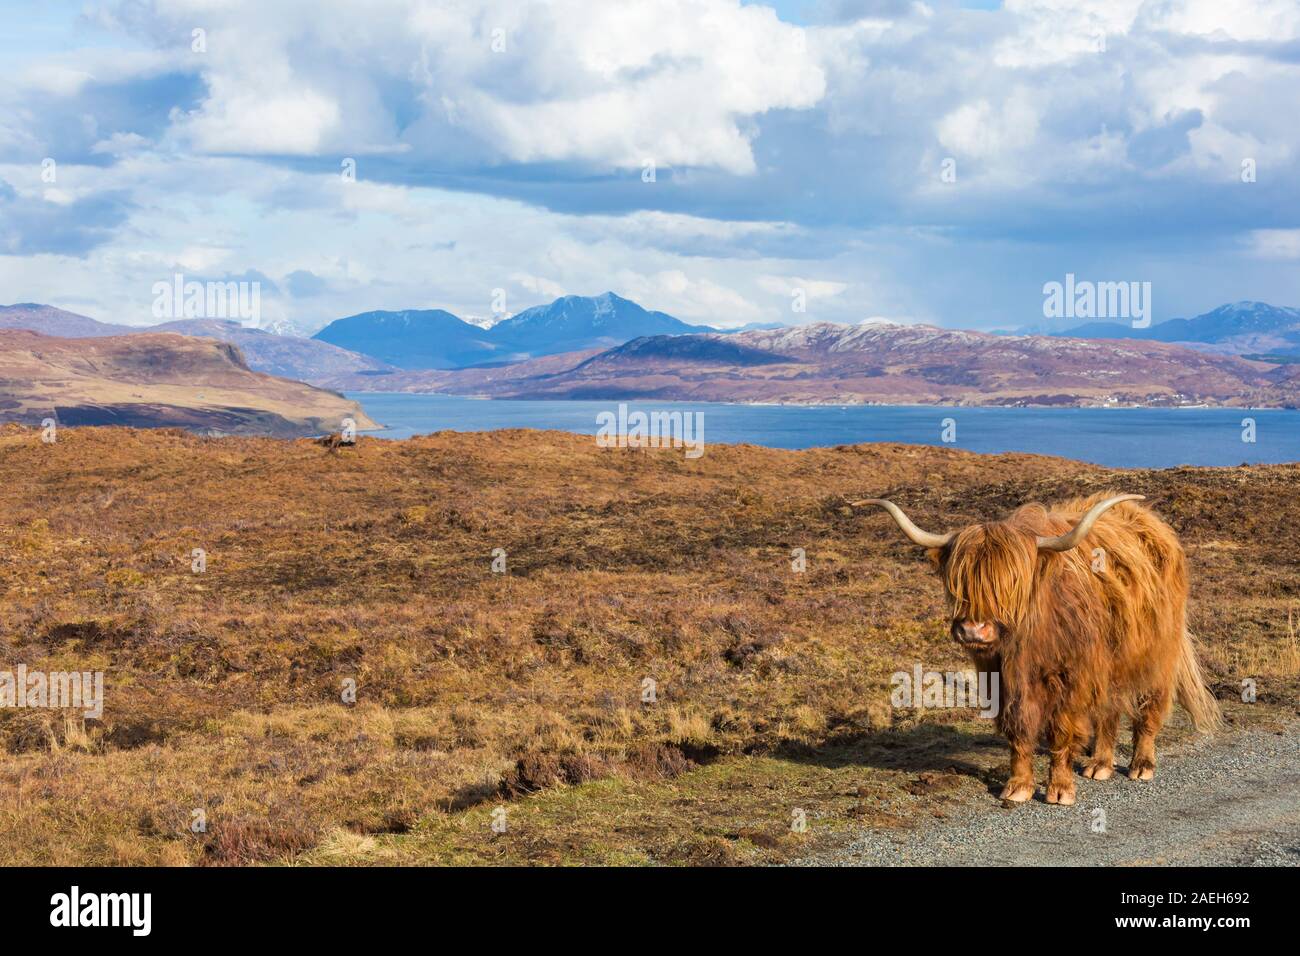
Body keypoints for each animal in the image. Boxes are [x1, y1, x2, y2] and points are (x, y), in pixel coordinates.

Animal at [859, 493, 1220, 805]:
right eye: (961, 580)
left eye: (1011, 582)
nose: (973, 630)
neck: (1025, 643)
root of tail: (1153, 523)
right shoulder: (1001, 679)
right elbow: (1017, 730)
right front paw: (1018, 786)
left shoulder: (1072, 676)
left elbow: (1061, 733)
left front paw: (1059, 789)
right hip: (1109, 664)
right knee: (1109, 711)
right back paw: (1100, 764)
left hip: (1157, 652)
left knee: (1149, 705)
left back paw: (1141, 765)